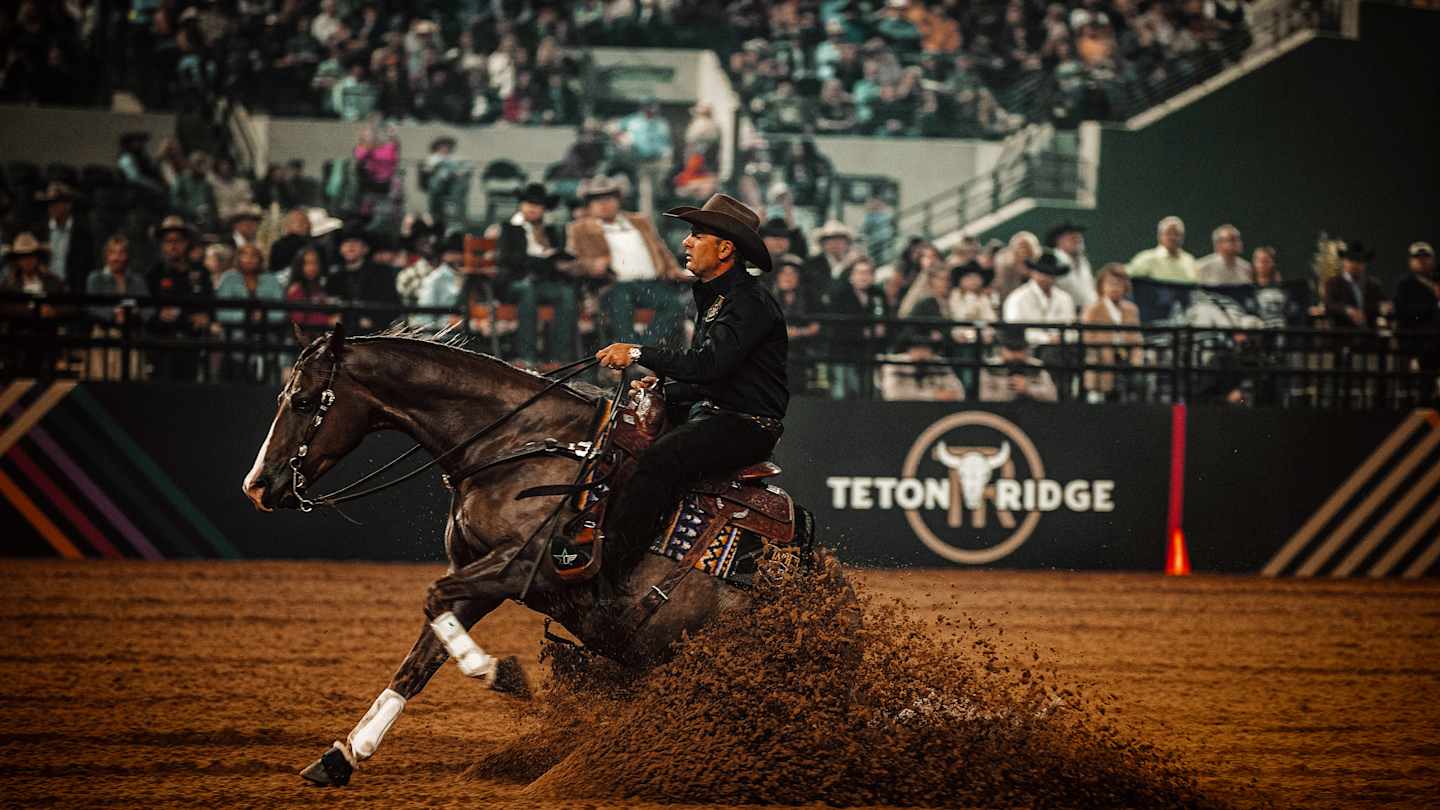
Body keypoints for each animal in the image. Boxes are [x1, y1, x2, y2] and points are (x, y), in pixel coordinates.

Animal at [241, 325, 842, 787]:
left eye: (302, 401)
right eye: (279, 397)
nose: (257, 486)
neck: (519, 444)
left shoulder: (516, 568)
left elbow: (433, 601)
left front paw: (497, 673)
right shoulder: (475, 574)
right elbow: (421, 655)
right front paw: (344, 754)